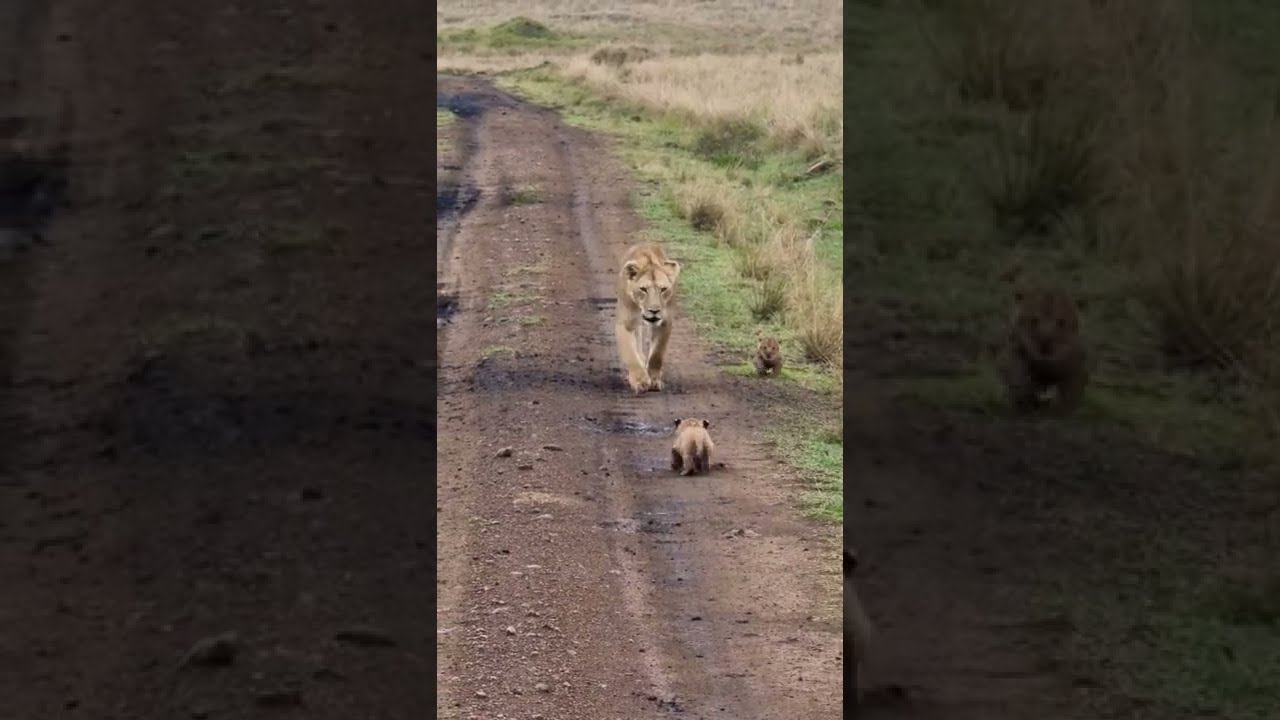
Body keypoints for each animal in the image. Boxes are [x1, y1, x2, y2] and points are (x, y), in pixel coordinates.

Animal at [616, 242, 681, 394]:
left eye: (663, 289)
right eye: (643, 289)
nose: (654, 311)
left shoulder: (665, 323)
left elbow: (657, 355)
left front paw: (654, 380)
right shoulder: (625, 323)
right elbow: (631, 354)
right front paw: (640, 381)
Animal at [995, 266, 1091, 414]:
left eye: (1061, 322)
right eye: (1034, 320)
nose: (1045, 343)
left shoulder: (1078, 367)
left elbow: (1070, 393)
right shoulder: (1013, 350)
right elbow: (1017, 374)